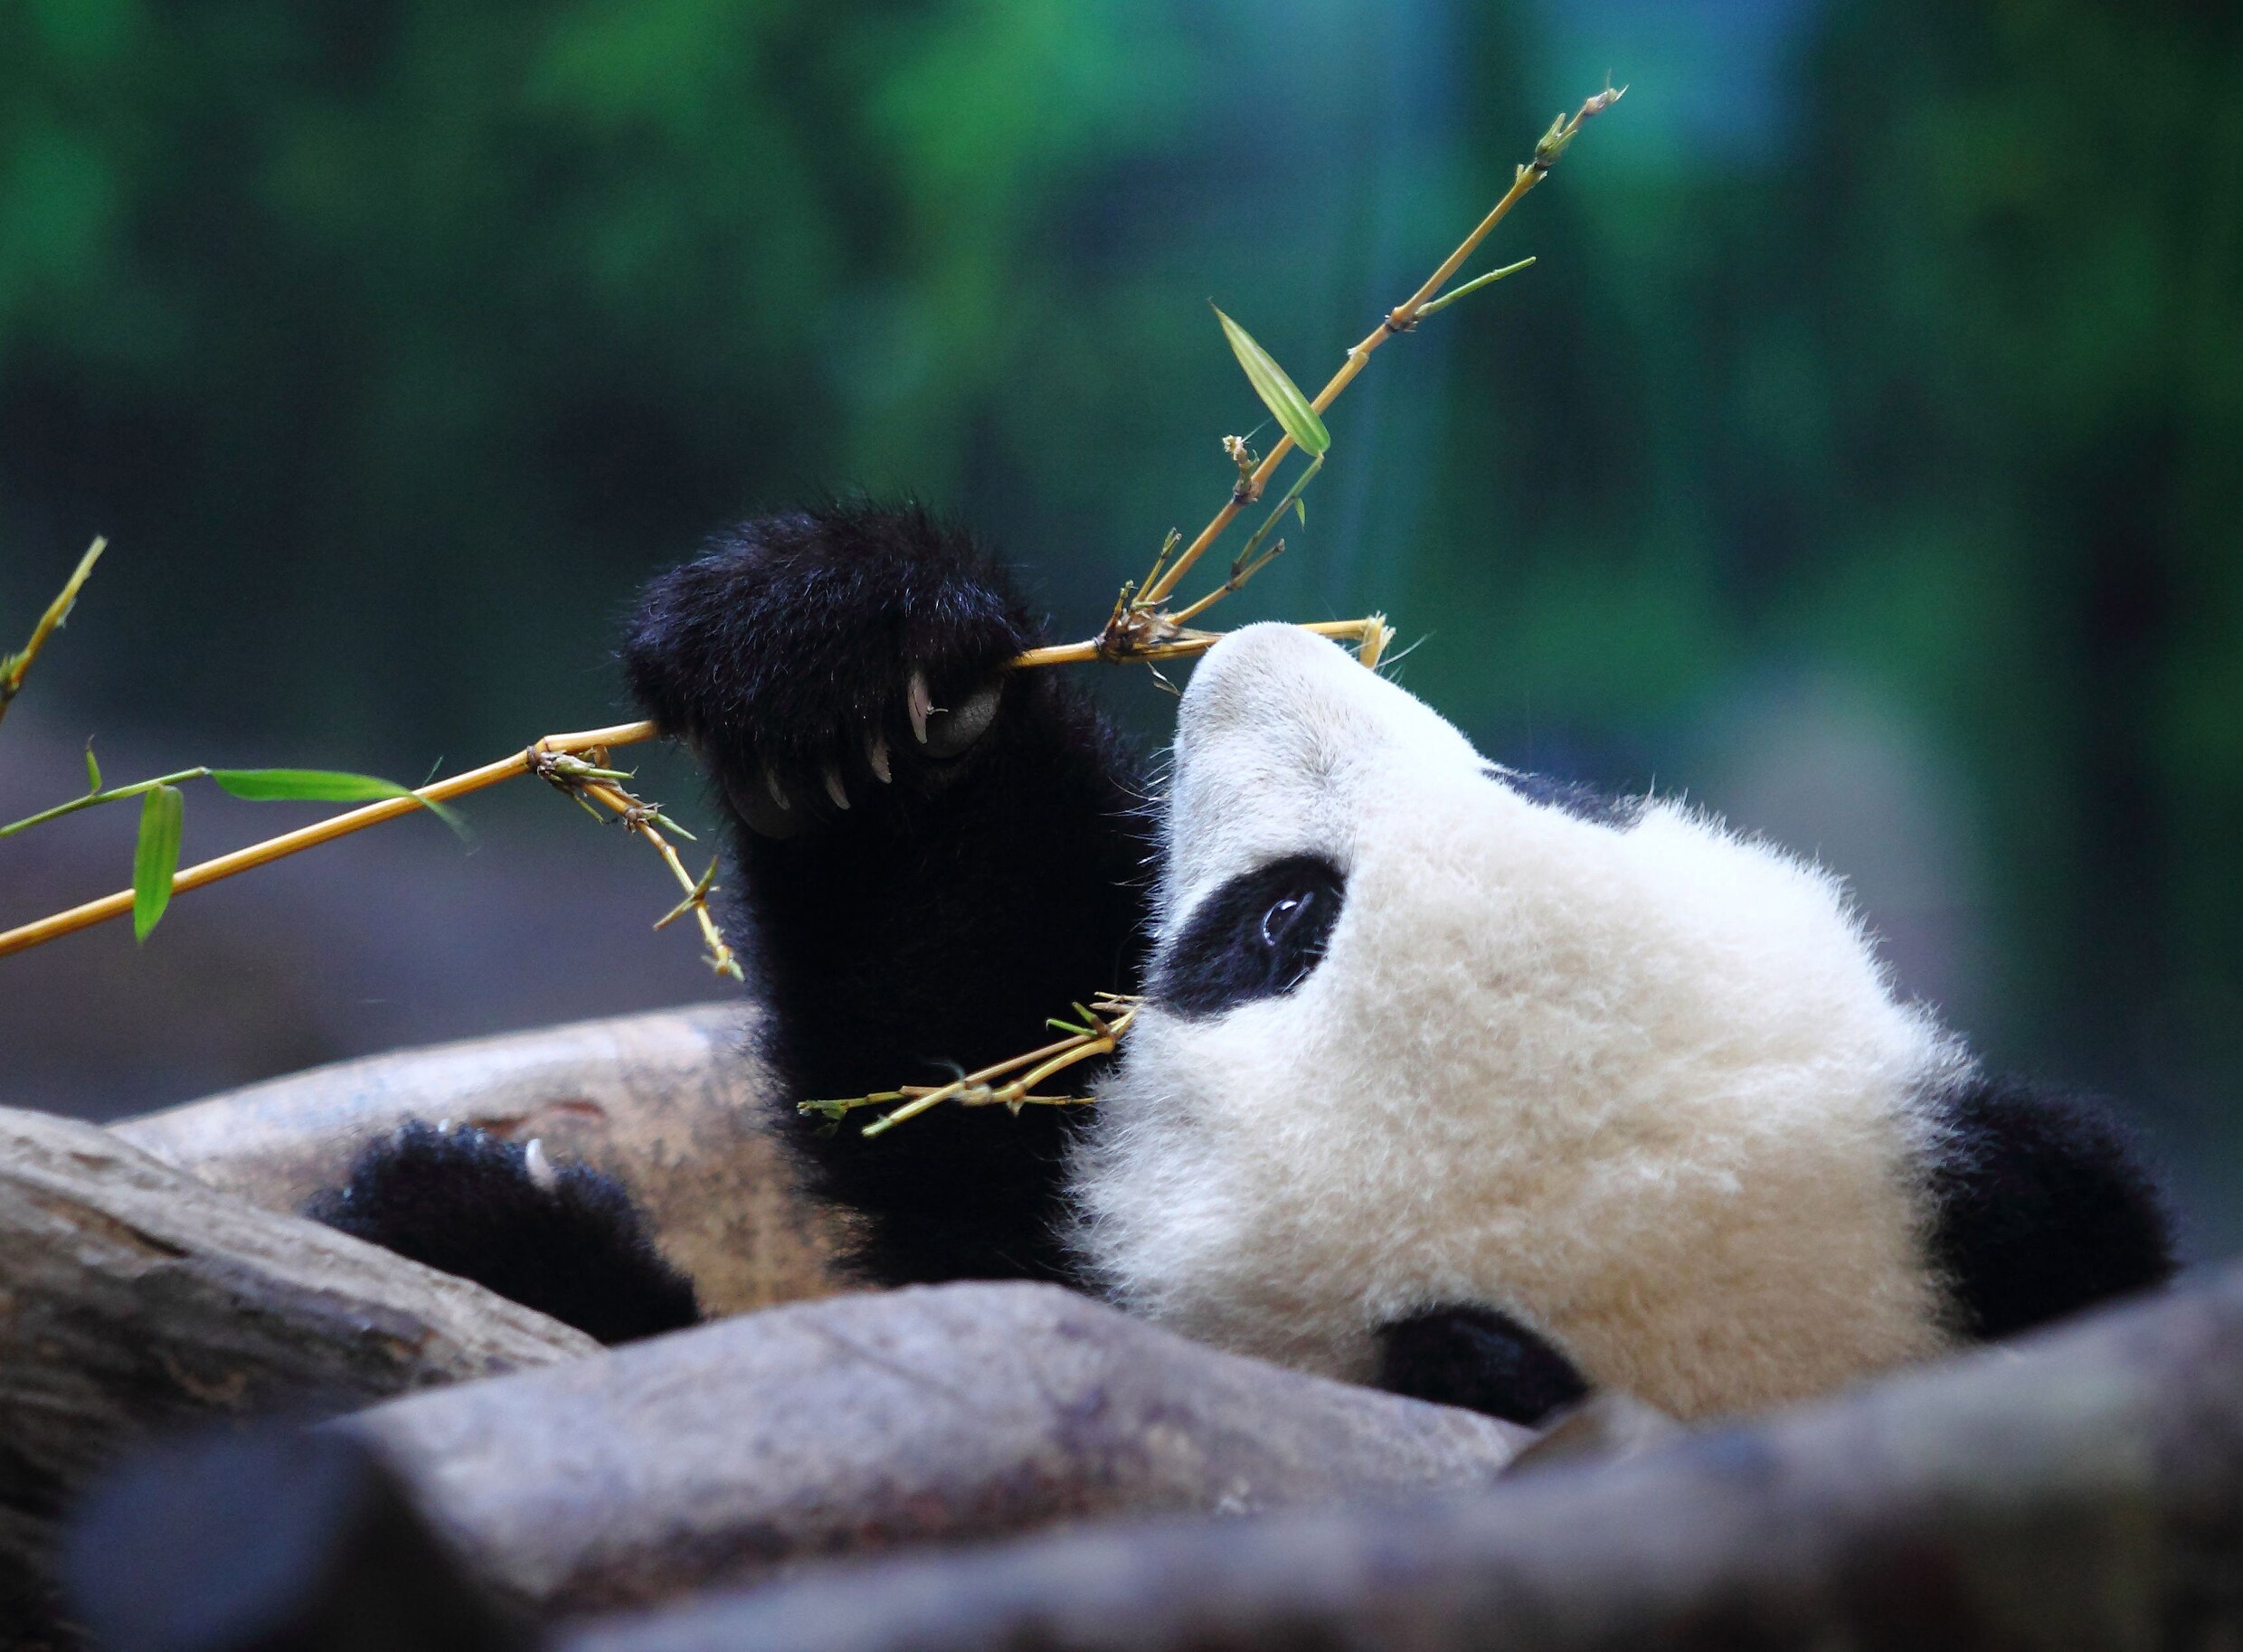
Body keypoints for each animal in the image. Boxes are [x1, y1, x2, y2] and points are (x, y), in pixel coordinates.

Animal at [314, 501, 2175, 1426]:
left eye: (1276, 925)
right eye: (1561, 783)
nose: (1256, 658)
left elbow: (970, 1090)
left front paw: (478, 1221)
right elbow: (970, 1010)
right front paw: (848, 661)